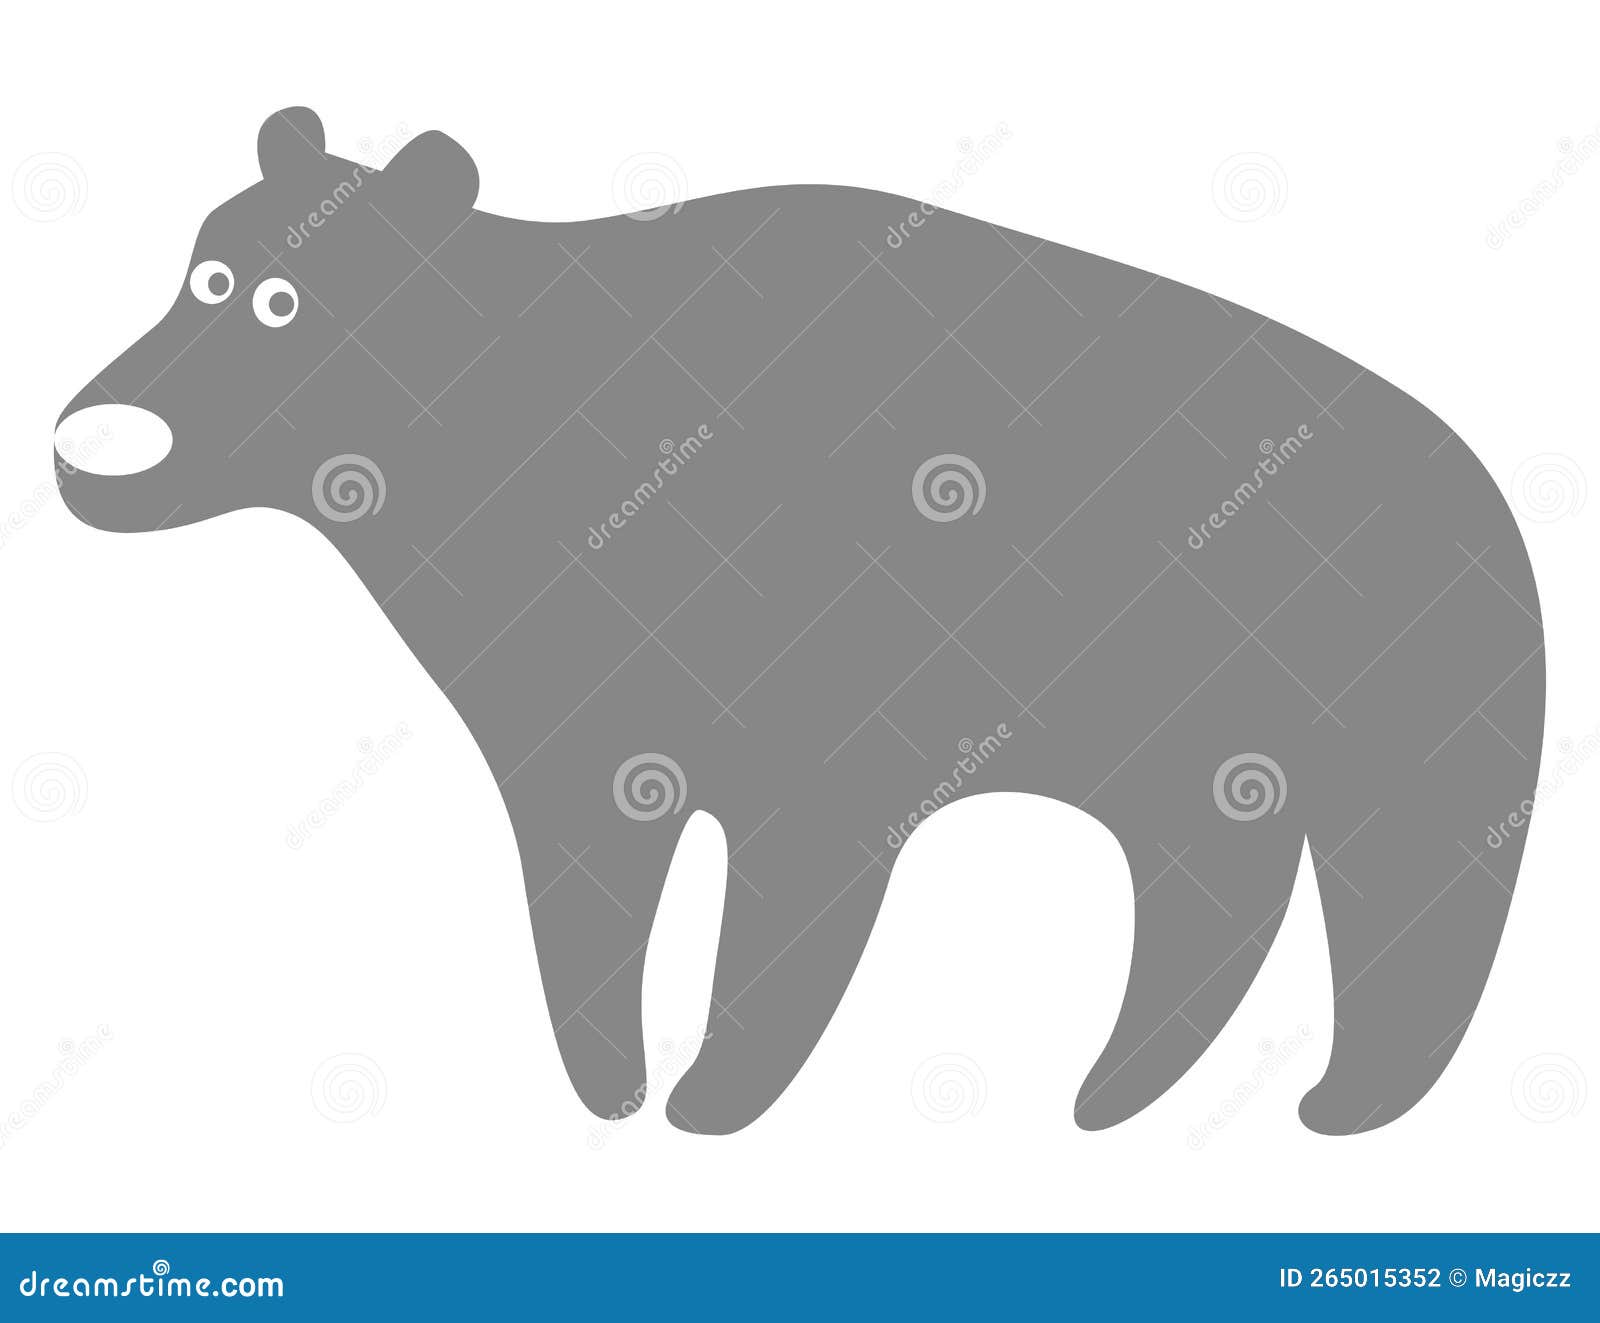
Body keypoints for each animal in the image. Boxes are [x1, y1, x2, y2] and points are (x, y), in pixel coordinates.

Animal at [55, 108, 1544, 1136]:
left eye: (284, 301)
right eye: (201, 273)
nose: (88, 437)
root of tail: (1494, 511)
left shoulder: (826, 755)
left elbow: (779, 941)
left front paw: (712, 1100)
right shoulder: (568, 751)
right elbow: (586, 926)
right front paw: (612, 1091)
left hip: (1398, 758)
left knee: (1397, 922)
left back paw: (1322, 1102)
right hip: (1192, 764)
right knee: (1215, 902)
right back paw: (1120, 1098)